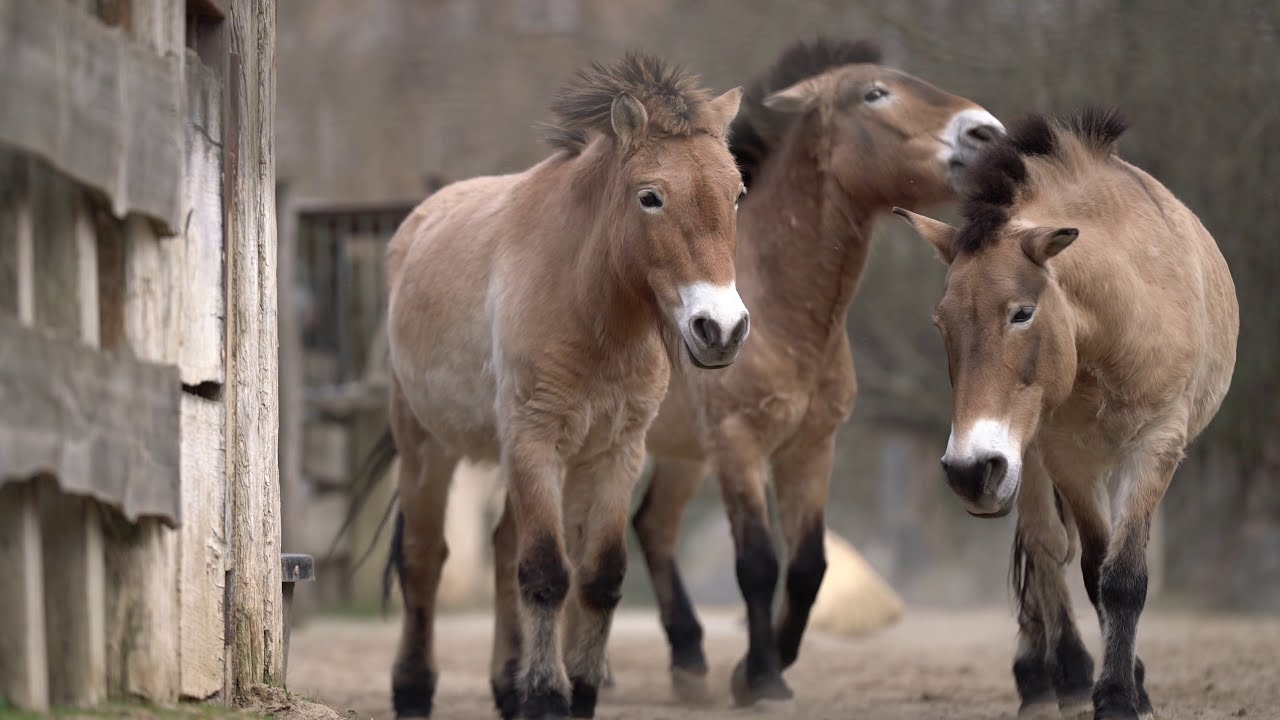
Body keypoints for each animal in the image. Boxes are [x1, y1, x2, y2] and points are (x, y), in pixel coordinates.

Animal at [380, 54, 748, 720]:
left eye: (737, 193)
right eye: (650, 197)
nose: (722, 329)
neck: (586, 300)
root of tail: (415, 227)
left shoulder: (615, 452)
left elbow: (597, 577)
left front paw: (576, 692)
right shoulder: (535, 440)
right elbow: (548, 573)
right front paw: (549, 697)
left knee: (503, 546)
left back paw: (507, 686)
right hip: (425, 447)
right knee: (424, 561)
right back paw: (414, 690)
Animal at [627, 38, 1006, 705]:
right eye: (874, 93)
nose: (987, 133)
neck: (788, 319)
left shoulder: (810, 448)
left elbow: (809, 568)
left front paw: (751, 672)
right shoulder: (739, 445)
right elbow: (757, 563)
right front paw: (762, 678)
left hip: (678, 457)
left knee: (652, 527)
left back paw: (690, 665)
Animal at [894, 107, 1238, 720]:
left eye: (1022, 313)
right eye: (941, 323)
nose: (967, 471)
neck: (1113, 328)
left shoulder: (1156, 445)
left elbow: (1123, 575)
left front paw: (1124, 695)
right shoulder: (1065, 456)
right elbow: (1091, 571)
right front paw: (1107, 688)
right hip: (1024, 460)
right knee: (1043, 547)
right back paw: (1061, 675)